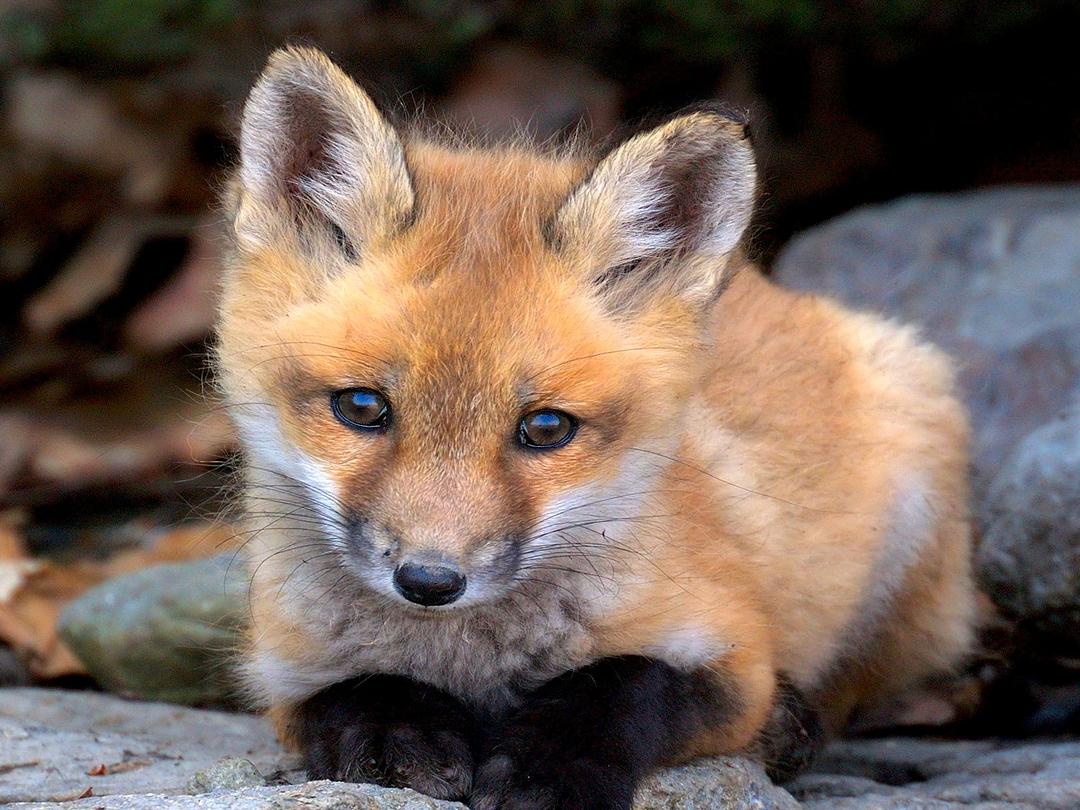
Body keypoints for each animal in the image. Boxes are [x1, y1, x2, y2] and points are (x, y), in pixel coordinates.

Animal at [215, 46, 976, 809]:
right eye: (362, 408)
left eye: (547, 427)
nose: (430, 580)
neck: (471, 660)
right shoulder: (287, 674)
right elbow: (354, 691)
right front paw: (397, 733)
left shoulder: (734, 653)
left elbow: (625, 685)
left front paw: (547, 767)